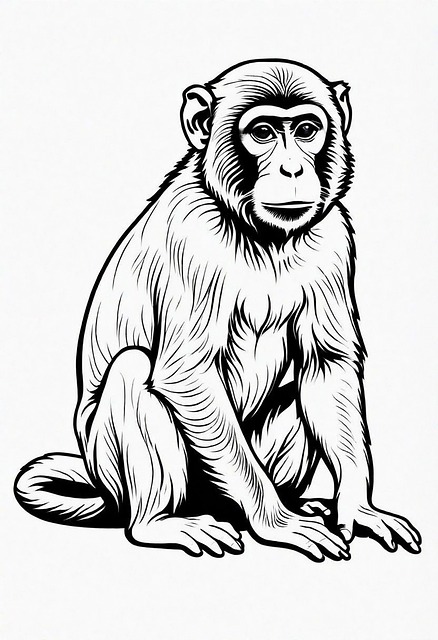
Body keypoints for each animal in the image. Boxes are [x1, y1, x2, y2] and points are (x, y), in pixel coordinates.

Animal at [14, 59, 421, 561]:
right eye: (263, 132)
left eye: (306, 129)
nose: (292, 169)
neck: (264, 236)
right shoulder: (192, 240)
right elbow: (184, 375)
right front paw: (277, 522)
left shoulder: (332, 239)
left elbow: (327, 366)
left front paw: (357, 508)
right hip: (139, 474)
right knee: (133, 369)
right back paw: (159, 522)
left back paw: (298, 502)